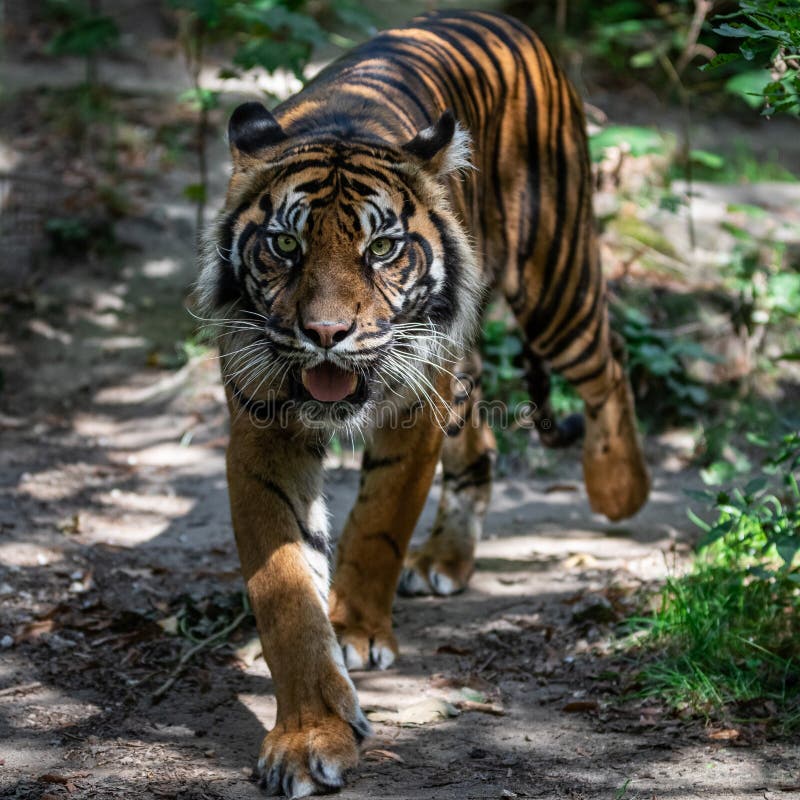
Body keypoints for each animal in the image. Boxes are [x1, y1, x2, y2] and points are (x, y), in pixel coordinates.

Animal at [196, 9, 650, 797]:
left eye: (381, 248)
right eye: (284, 245)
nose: (325, 334)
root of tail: (507, 20)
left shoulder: (413, 409)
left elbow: (379, 521)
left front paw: (353, 630)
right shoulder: (262, 431)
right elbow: (284, 593)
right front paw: (310, 735)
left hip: (553, 282)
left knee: (610, 362)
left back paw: (620, 489)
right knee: (484, 448)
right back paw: (447, 556)